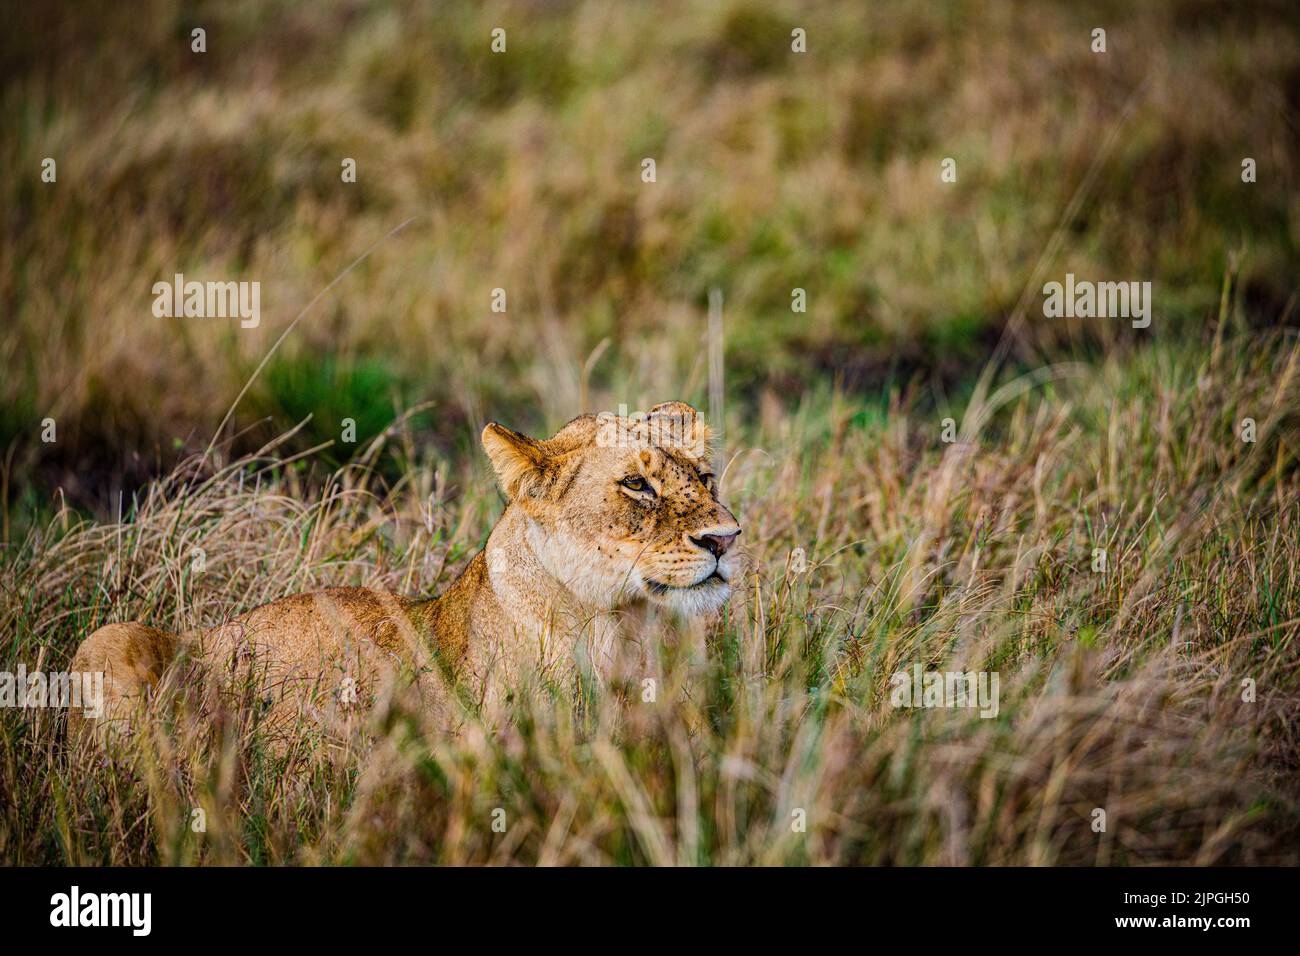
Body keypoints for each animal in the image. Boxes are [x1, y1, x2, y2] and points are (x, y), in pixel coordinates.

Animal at [68, 402, 741, 745]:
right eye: (637, 484)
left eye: (706, 479)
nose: (725, 539)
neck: (628, 627)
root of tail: (202, 634)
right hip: (110, 639)